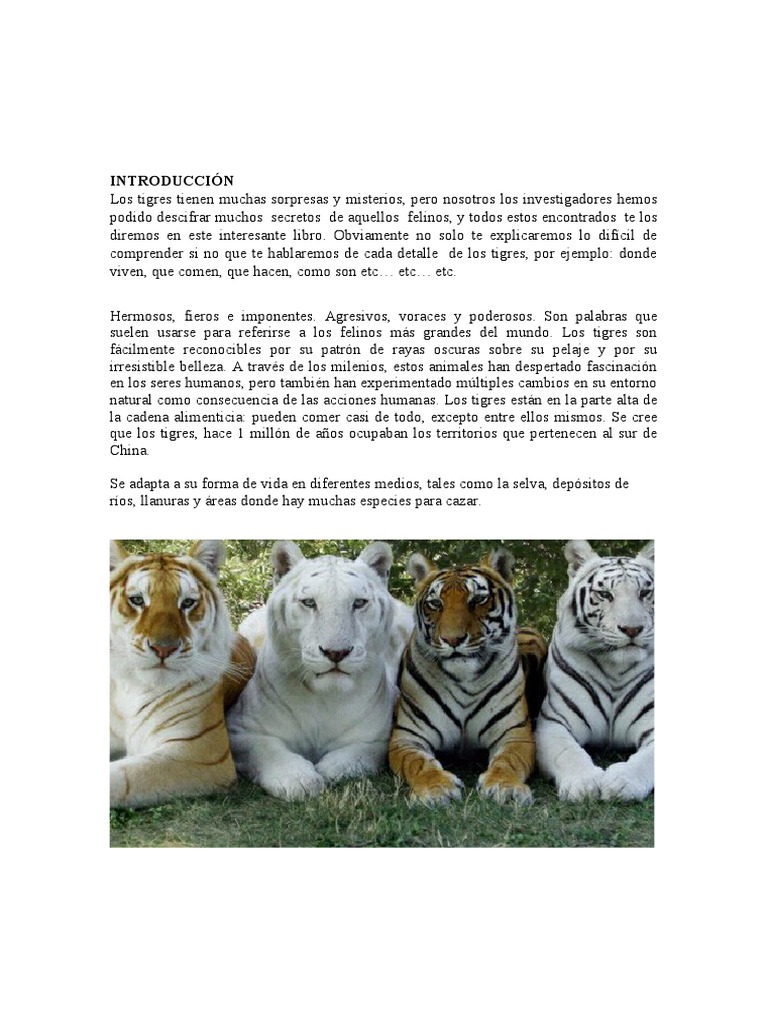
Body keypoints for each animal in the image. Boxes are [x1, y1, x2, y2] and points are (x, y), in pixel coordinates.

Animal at [110, 540, 256, 809]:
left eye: (187, 603)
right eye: (137, 600)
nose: (163, 648)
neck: (133, 686)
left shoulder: (199, 752)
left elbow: (123, 777)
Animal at [228, 540, 406, 801]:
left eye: (358, 603)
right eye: (309, 602)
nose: (336, 652)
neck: (324, 699)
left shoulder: (381, 736)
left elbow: (364, 751)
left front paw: (330, 768)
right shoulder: (239, 730)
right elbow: (266, 748)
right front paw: (298, 779)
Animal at [388, 548, 545, 807]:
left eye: (478, 600)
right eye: (435, 603)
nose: (452, 640)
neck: (464, 681)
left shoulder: (515, 734)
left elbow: (508, 762)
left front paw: (505, 786)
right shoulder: (407, 737)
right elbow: (419, 764)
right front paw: (435, 789)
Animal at [535, 539, 654, 802]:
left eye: (644, 593)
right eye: (605, 594)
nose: (632, 629)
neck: (615, 668)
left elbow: (647, 759)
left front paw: (623, 781)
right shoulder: (553, 722)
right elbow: (567, 752)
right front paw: (583, 782)